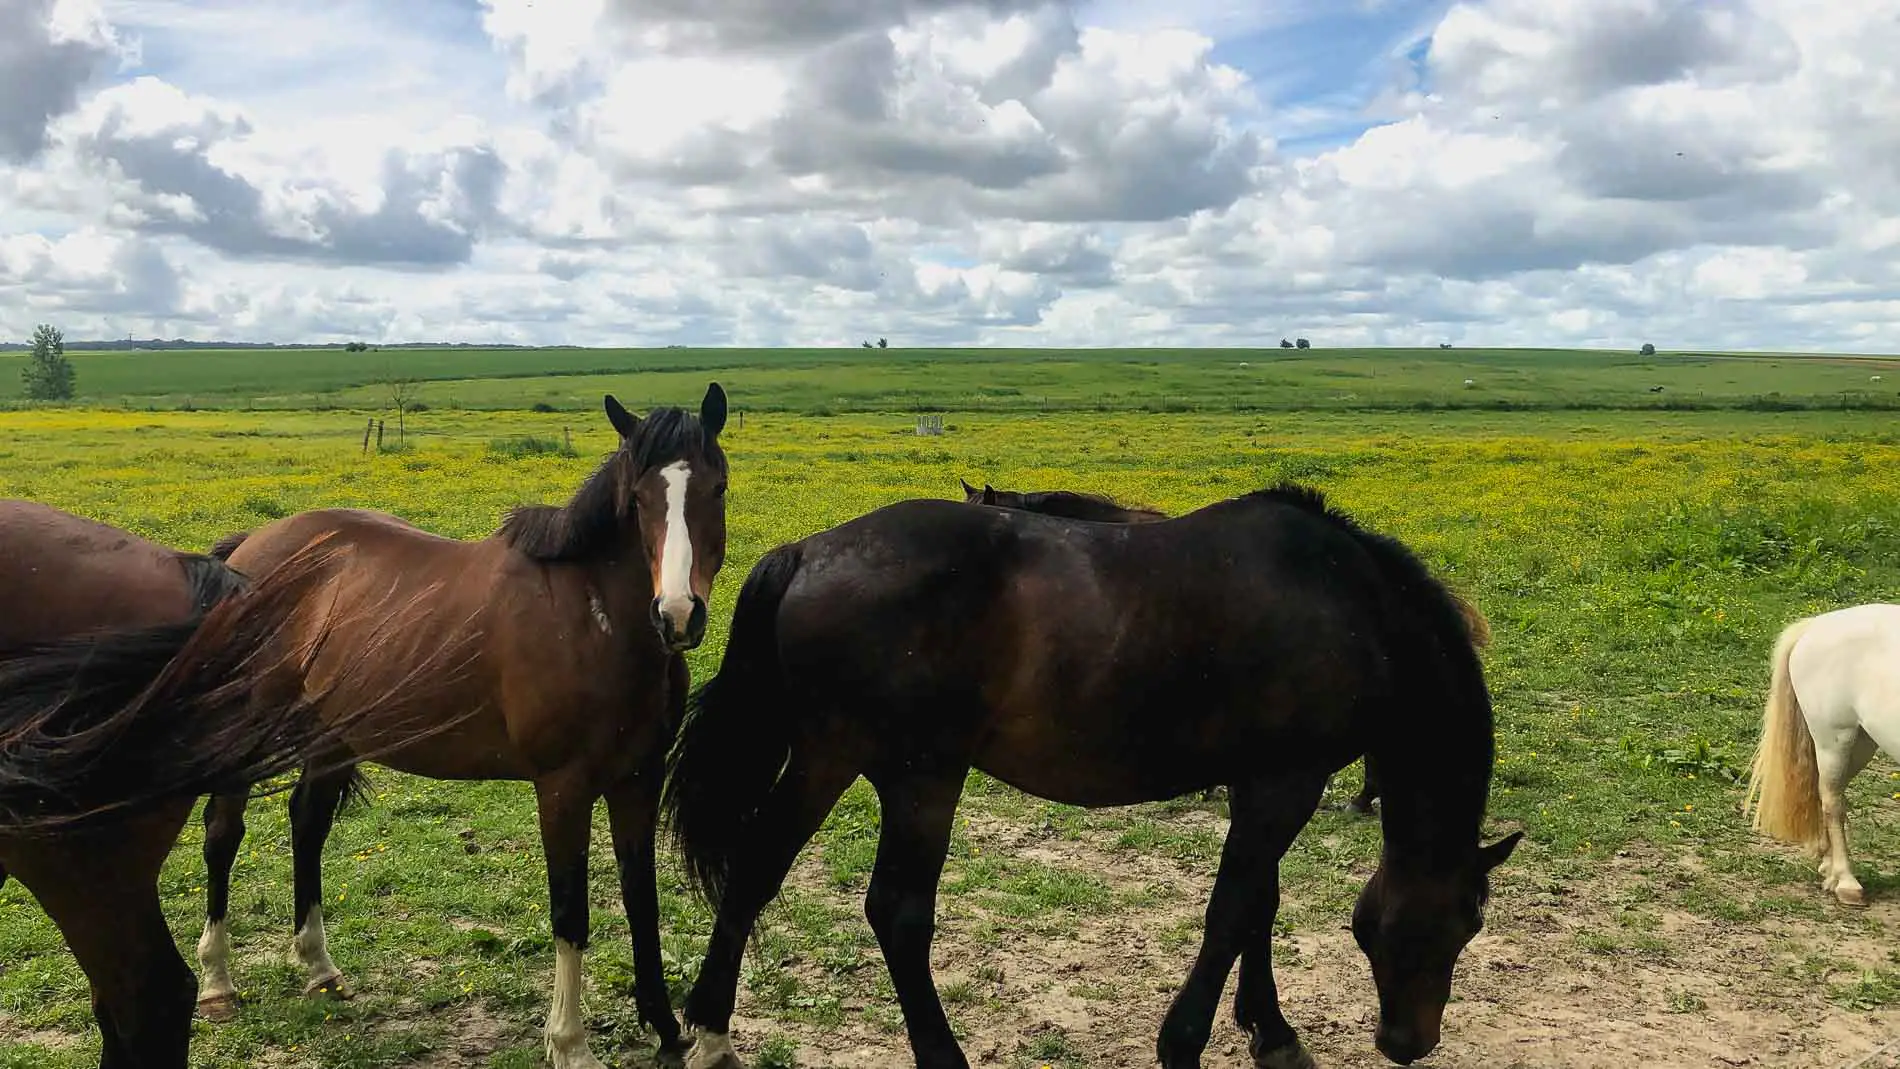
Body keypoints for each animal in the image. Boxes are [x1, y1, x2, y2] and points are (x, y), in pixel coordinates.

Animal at [186, 386, 730, 1069]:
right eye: (637, 499)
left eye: (717, 487)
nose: (678, 615)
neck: (592, 619)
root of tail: (250, 548)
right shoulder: (564, 789)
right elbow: (571, 912)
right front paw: (569, 1042)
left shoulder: (639, 778)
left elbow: (641, 899)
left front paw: (665, 1028)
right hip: (249, 730)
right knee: (223, 833)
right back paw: (217, 983)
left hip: (331, 734)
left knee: (307, 825)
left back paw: (319, 969)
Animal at [661, 482, 1521, 1069]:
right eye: (1462, 922)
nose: (1409, 1041)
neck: (1354, 606)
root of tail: (808, 551)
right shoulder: (1285, 783)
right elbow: (1232, 910)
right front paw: (1184, 1040)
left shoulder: (1261, 783)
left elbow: (1259, 906)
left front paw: (1270, 1031)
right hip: (912, 775)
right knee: (894, 912)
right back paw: (939, 1053)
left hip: (836, 762)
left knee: (757, 870)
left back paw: (709, 1028)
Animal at [1744, 603, 1900, 907]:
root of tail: (1815, 625)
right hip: (1834, 739)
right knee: (1832, 801)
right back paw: (1846, 882)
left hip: (1862, 743)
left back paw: (1829, 868)